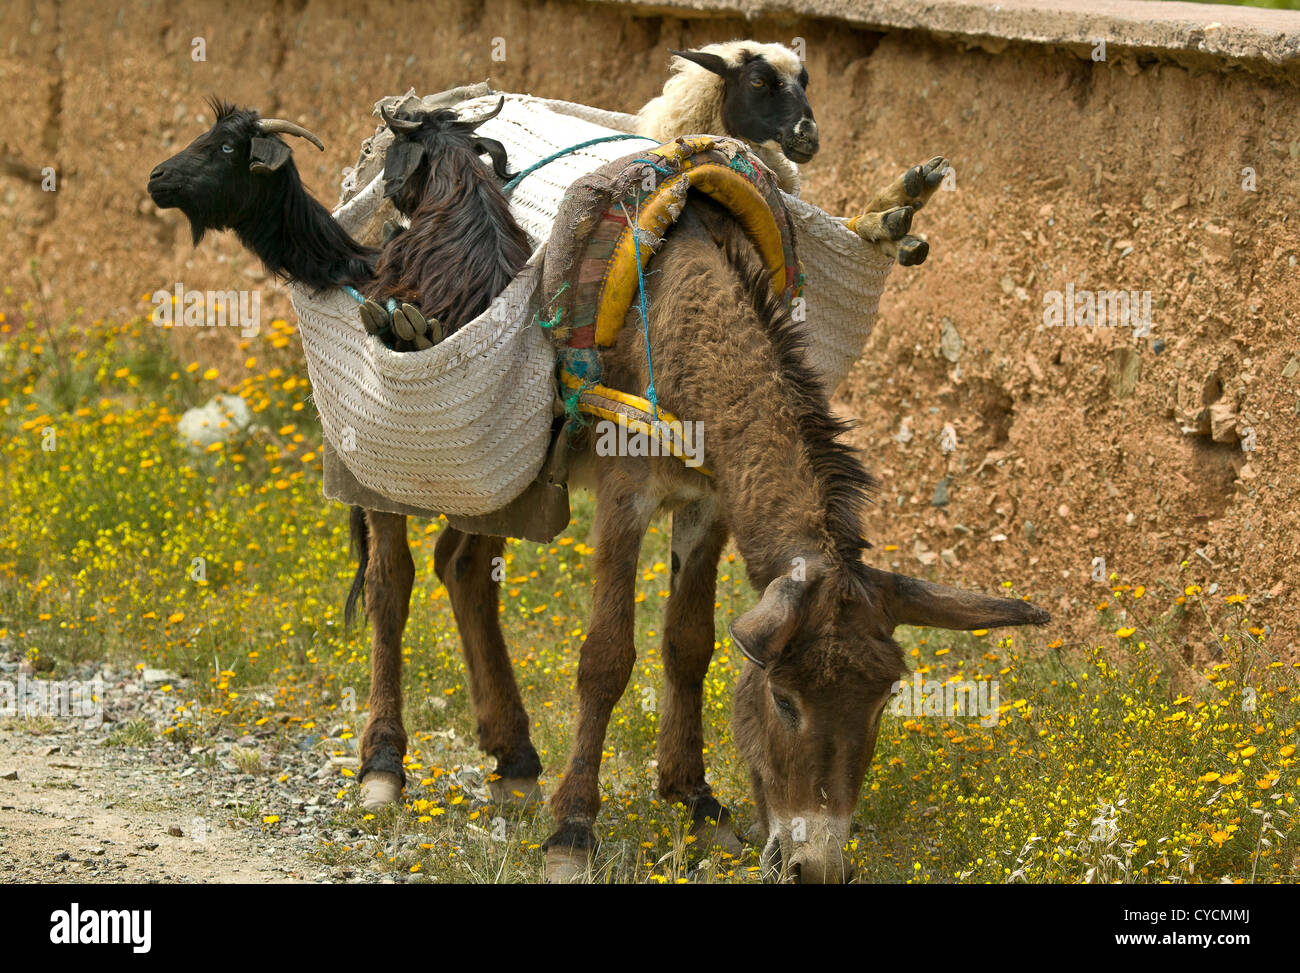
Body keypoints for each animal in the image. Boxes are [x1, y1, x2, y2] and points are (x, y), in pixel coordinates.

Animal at [635, 43, 948, 265]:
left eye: (805, 83)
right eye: (758, 82)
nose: (809, 135)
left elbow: (844, 223)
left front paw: (897, 207)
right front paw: (889, 219)